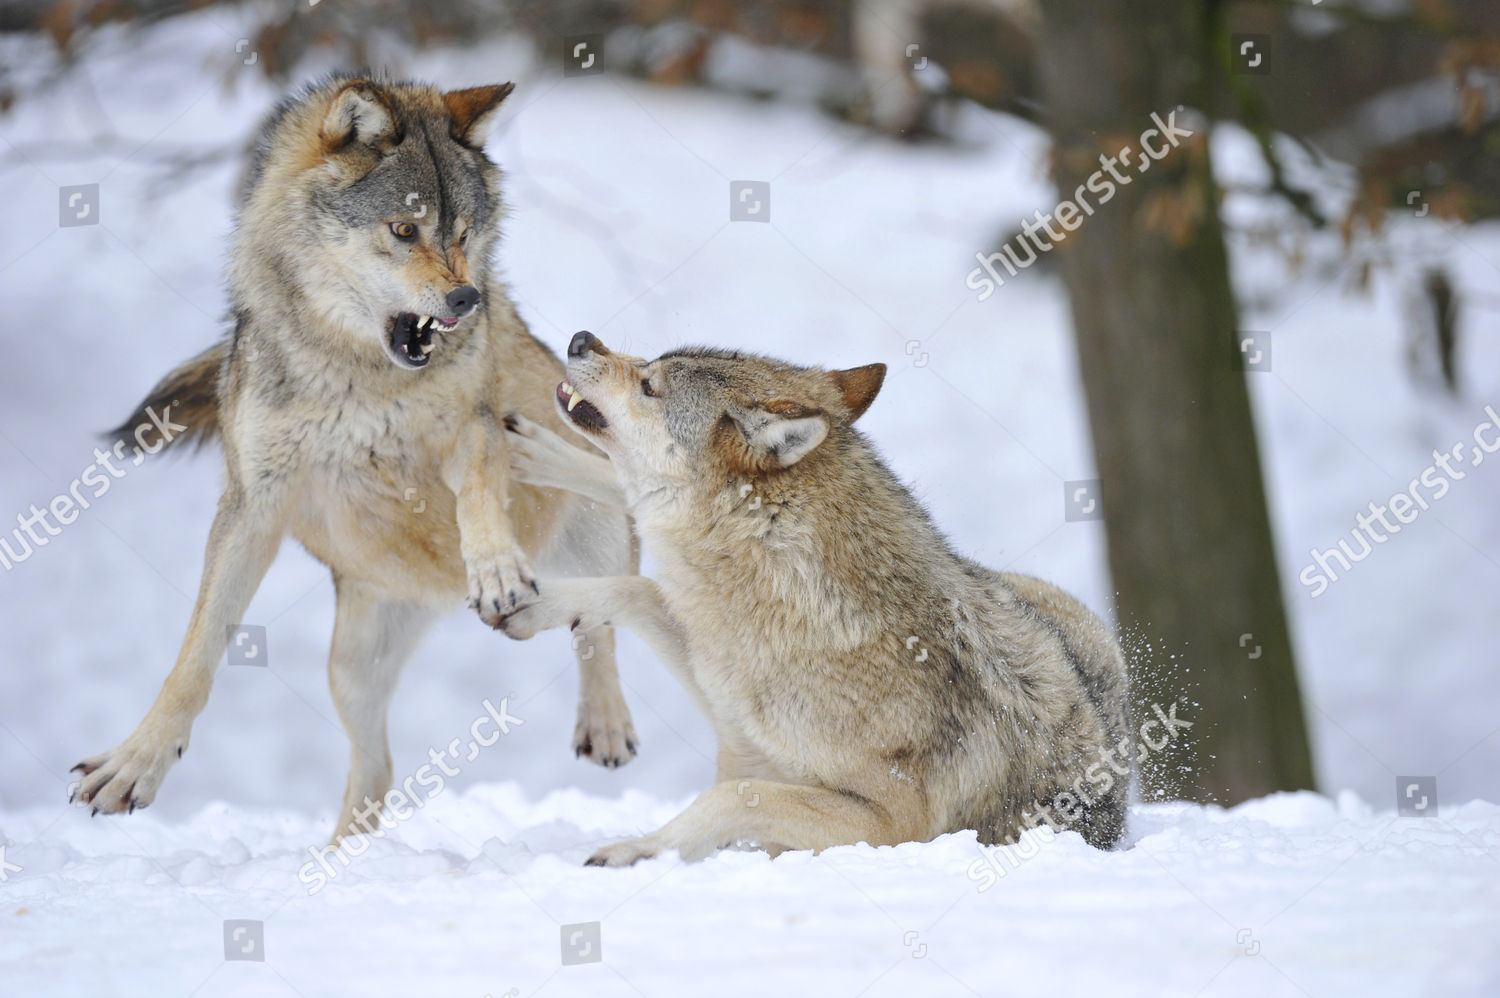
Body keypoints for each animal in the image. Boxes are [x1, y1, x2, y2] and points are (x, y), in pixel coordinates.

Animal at [70, 76, 641, 842]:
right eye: (403, 231)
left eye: (464, 234)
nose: (467, 299)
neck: (360, 377)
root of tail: (436, 597)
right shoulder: (253, 505)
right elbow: (196, 655)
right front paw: (134, 765)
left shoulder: (473, 433)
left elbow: (482, 500)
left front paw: (494, 570)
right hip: (352, 666)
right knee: (377, 772)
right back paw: (344, 853)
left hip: (594, 536)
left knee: (597, 625)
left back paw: (603, 723)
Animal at [497, 331, 1132, 866]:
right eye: (651, 361)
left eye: (650, 385)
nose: (581, 338)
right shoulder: (731, 712)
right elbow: (637, 588)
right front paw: (528, 604)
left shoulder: (891, 823)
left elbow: (732, 797)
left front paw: (637, 851)